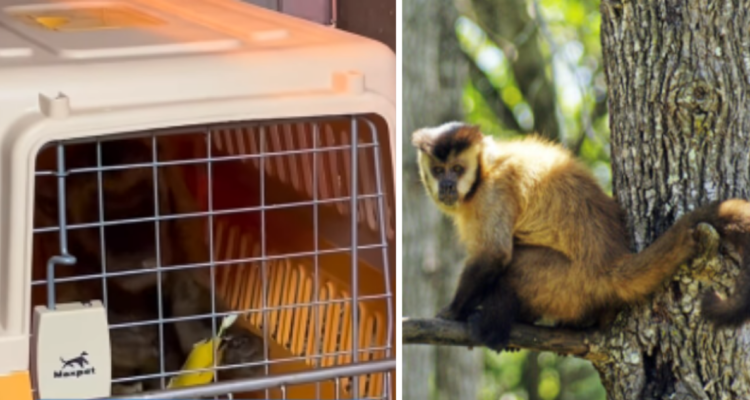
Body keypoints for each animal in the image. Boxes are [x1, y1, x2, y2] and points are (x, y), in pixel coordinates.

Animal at [410, 121, 750, 352]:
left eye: (457, 168)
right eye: (438, 170)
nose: (448, 185)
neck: (484, 172)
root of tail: (611, 262)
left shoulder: (492, 192)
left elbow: (495, 256)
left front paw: (453, 312)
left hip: (572, 282)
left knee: (516, 266)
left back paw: (492, 330)